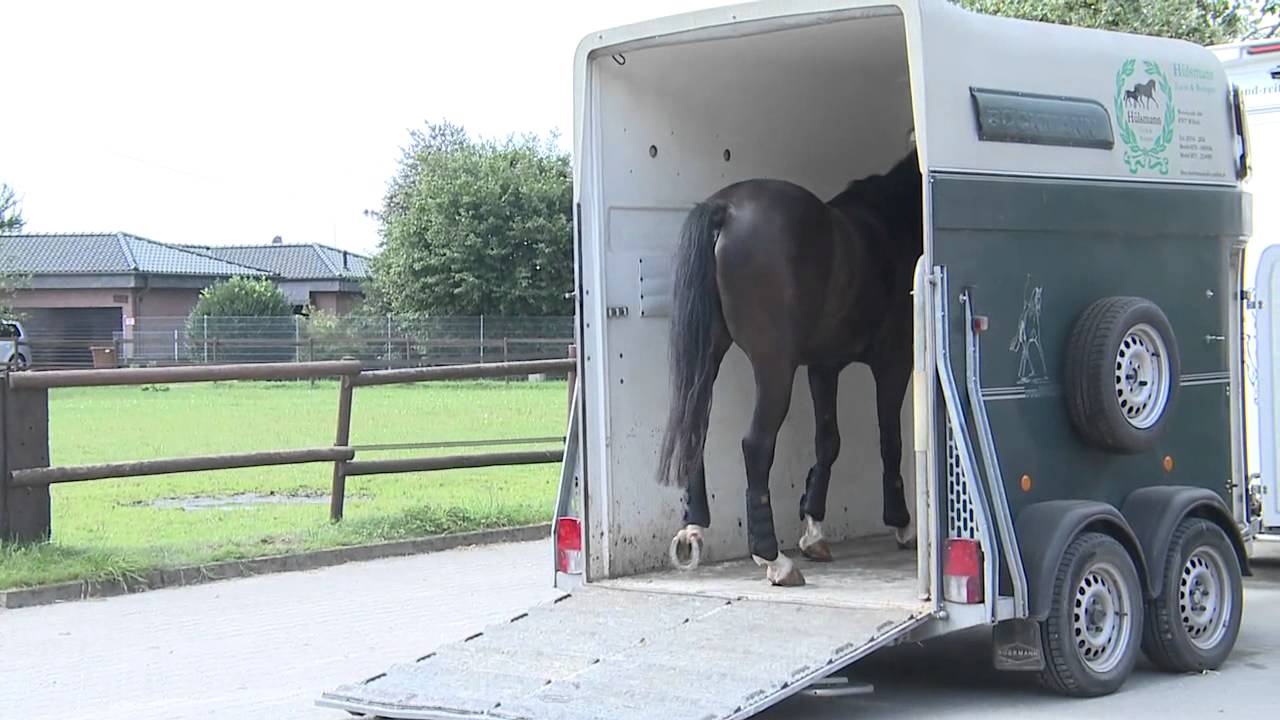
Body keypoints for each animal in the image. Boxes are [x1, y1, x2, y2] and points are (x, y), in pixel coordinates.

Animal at [655, 147, 923, 587]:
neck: (891, 224)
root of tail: (725, 209)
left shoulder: (823, 367)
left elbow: (828, 441)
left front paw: (813, 531)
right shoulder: (893, 364)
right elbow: (891, 442)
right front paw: (902, 524)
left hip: (710, 357)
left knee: (696, 431)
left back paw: (695, 528)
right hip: (774, 367)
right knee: (756, 444)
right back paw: (773, 559)